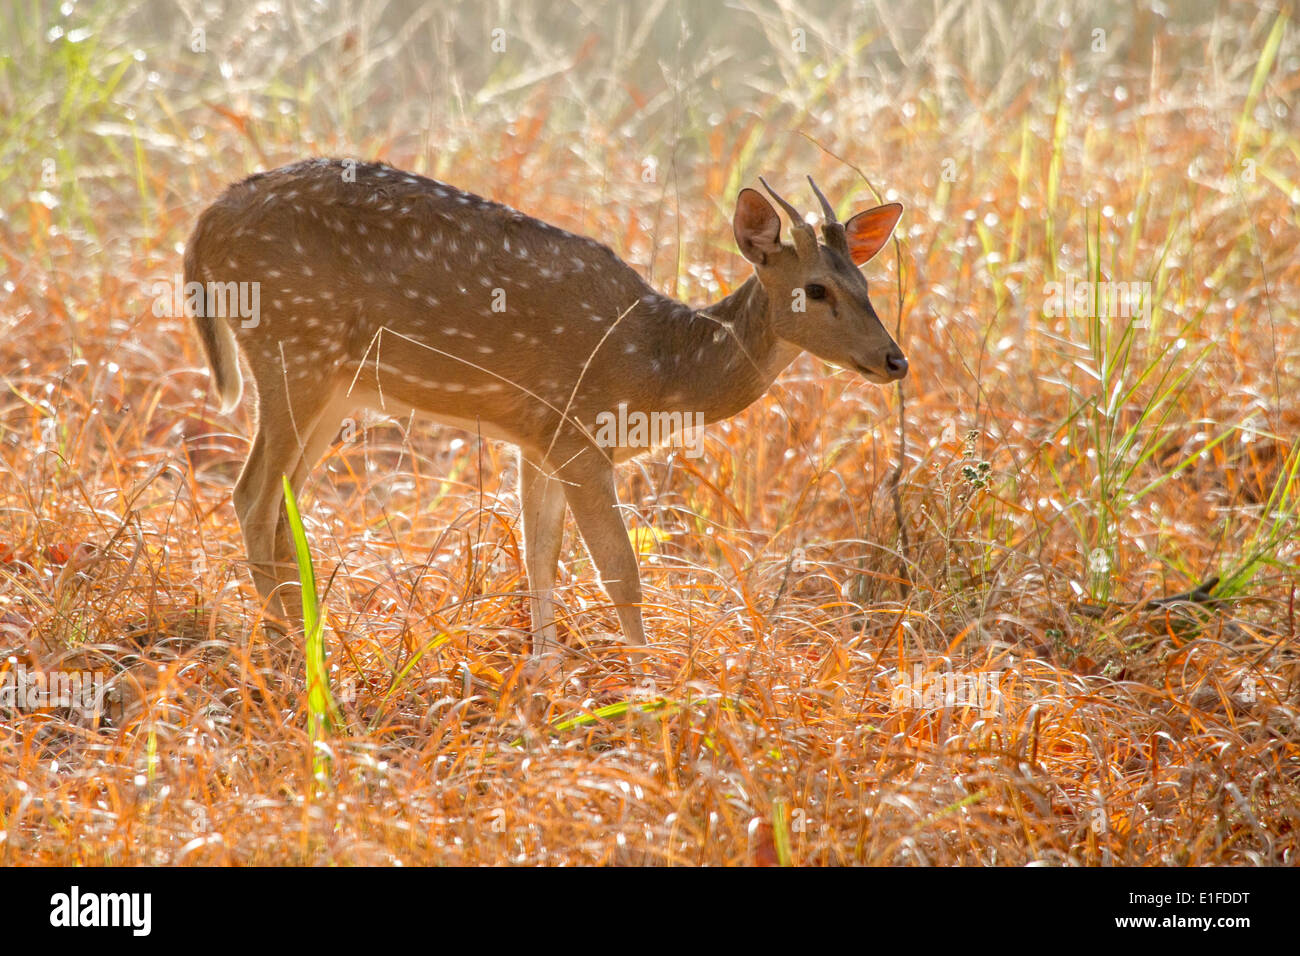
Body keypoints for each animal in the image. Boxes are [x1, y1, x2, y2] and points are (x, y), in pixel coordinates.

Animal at [184, 158, 906, 669]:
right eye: (816, 289)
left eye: (868, 285)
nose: (895, 359)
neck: (660, 369)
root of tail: (205, 223)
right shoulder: (582, 434)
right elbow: (621, 572)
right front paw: (650, 683)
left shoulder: (538, 440)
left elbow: (539, 557)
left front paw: (545, 669)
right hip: (293, 345)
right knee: (253, 495)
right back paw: (294, 655)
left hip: (332, 383)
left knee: (282, 501)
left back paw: (308, 634)